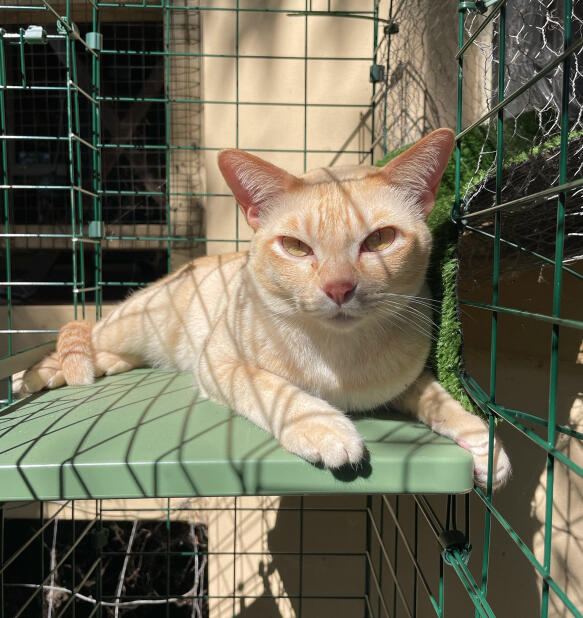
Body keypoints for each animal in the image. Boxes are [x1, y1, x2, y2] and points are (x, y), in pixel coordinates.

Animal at [16, 129, 512, 486]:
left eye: (380, 239)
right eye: (295, 247)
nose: (338, 288)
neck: (339, 357)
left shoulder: (404, 379)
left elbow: (438, 397)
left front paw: (482, 444)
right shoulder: (219, 362)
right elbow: (273, 388)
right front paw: (326, 428)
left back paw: (103, 365)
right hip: (131, 324)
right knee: (77, 333)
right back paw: (34, 376)